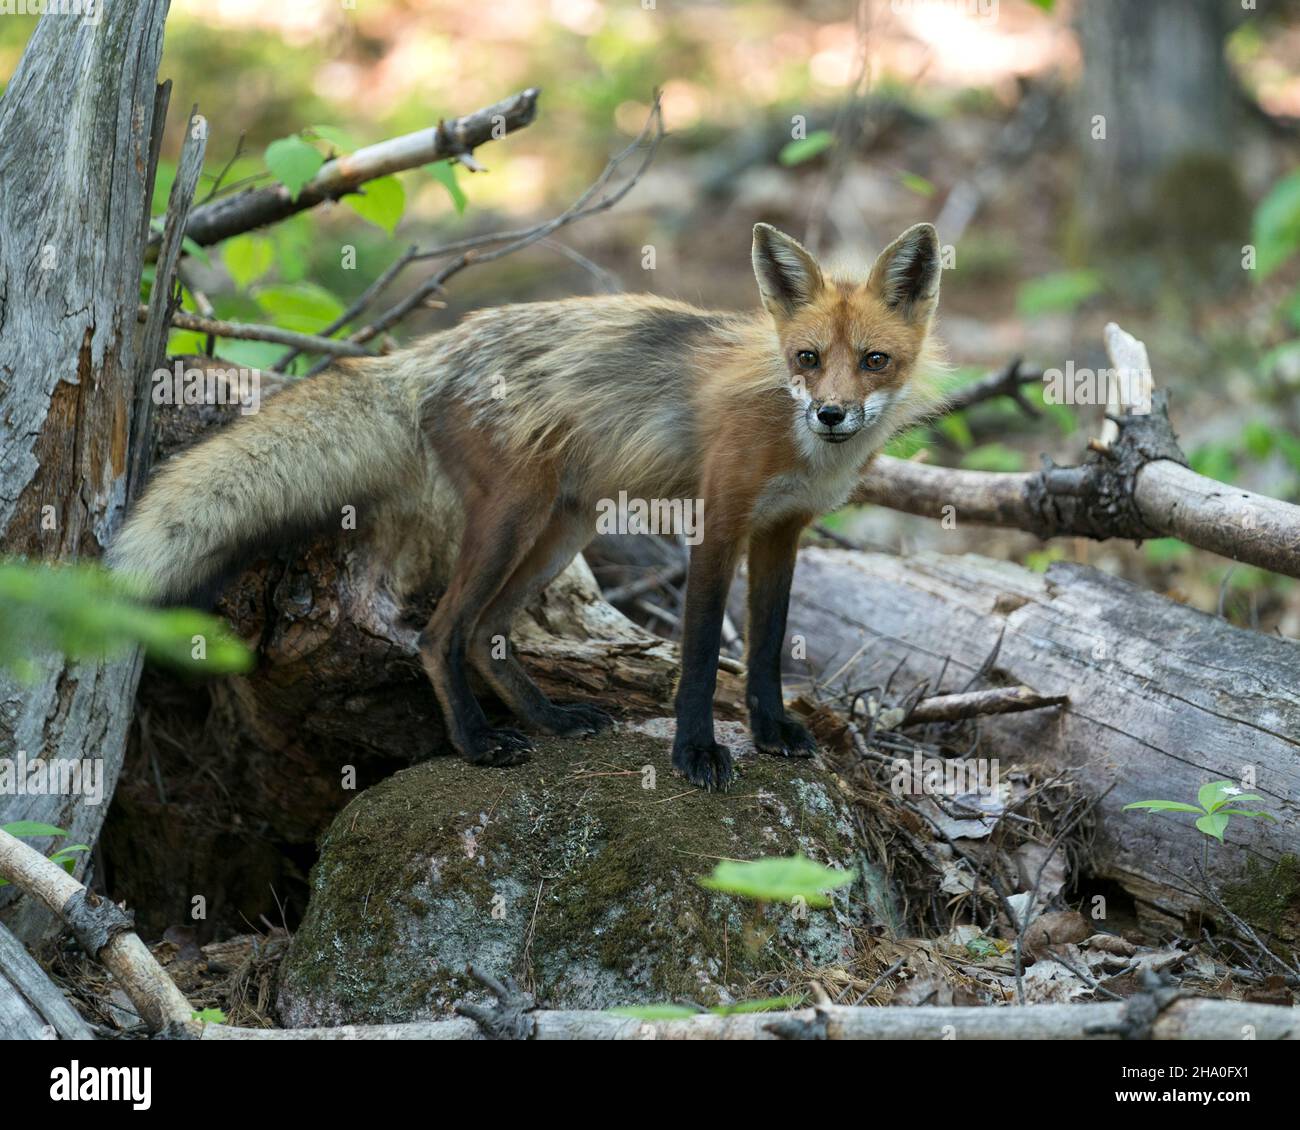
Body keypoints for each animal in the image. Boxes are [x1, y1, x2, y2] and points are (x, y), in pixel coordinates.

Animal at [108, 222, 943, 790]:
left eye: (874, 361)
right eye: (807, 358)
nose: (831, 414)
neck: (793, 437)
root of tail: (429, 354)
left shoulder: (781, 531)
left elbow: (767, 647)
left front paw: (773, 731)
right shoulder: (719, 522)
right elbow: (705, 654)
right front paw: (697, 751)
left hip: (563, 529)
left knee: (486, 635)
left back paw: (548, 720)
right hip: (513, 519)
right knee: (440, 635)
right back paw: (479, 745)